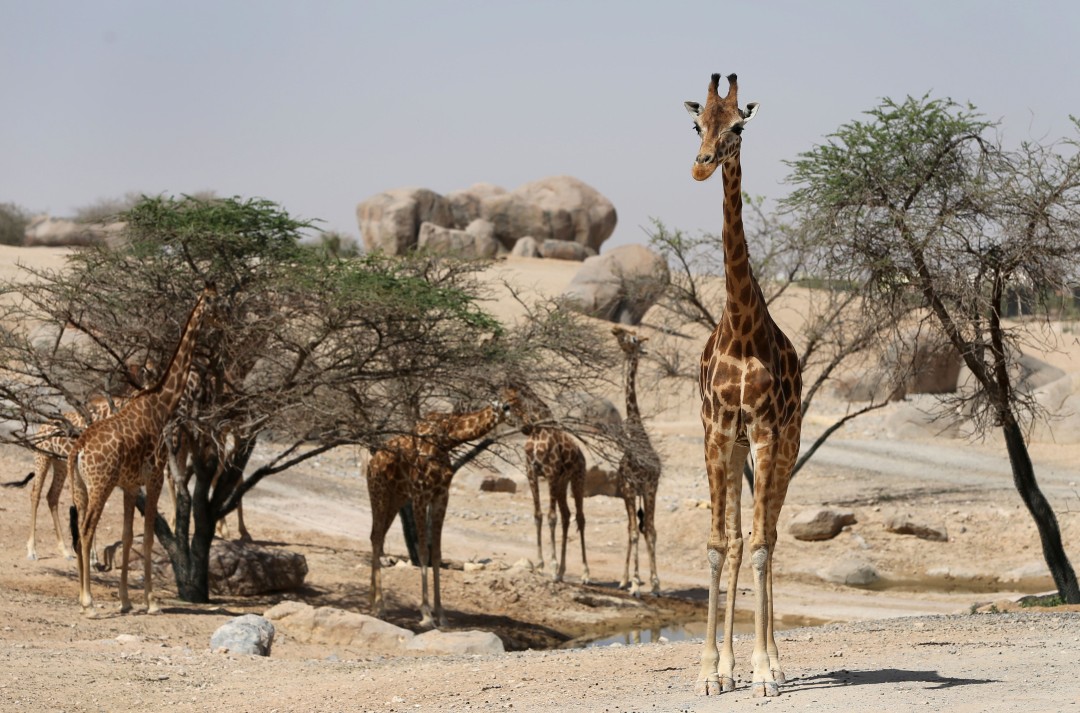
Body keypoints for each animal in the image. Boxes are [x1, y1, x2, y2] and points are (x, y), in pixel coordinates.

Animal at [68, 286, 218, 616]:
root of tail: (79, 448)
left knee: (80, 530)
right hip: (100, 484)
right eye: (215, 301)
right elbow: (148, 538)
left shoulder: (130, 485)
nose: (223, 324)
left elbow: (126, 537)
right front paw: (152, 603)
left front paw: (126, 601)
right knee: (86, 529)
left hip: (80, 486)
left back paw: (83, 599)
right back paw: (88, 602)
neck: (162, 404)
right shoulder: (155, 477)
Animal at [367, 399, 509, 628]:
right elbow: (423, 551)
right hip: (379, 492)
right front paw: (426, 614)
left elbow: (436, 553)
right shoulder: (420, 495)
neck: (446, 438)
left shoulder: (441, 495)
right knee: (378, 537)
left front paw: (441, 614)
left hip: (396, 498)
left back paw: (373, 603)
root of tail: (372, 463)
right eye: (509, 409)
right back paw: (380, 607)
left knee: (375, 537)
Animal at [501, 383, 590, 585]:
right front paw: (541, 565)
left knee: (580, 518)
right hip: (562, 484)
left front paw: (552, 567)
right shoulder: (531, 473)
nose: (525, 426)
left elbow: (551, 517)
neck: (537, 433)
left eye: (514, 400)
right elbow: (538, 515)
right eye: (504, 404)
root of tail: (581, 455)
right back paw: (563, 571)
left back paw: (584, 573)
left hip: (577, 479)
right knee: (566, 515)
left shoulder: (550, 474)